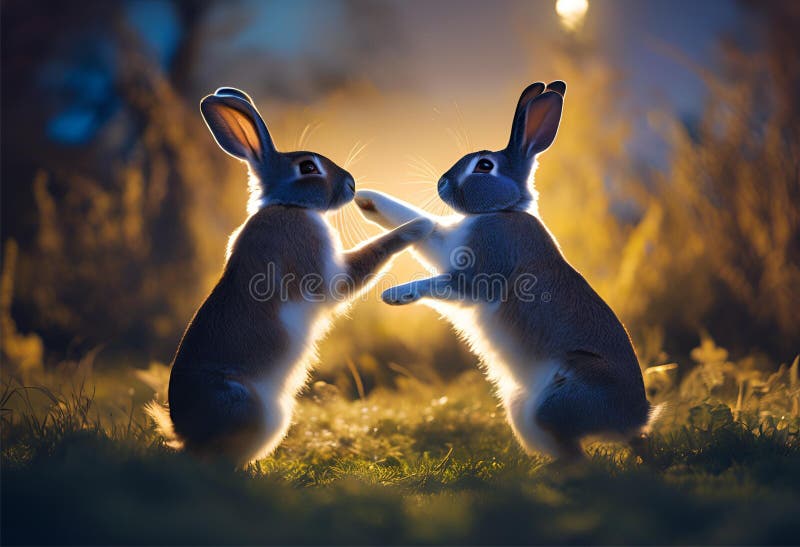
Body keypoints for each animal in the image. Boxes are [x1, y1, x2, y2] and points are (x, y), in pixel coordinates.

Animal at [146, 87, 433, 465]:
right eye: (308, 167)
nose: (351, 184)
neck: (289, 205)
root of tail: (186, 433)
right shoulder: (322, 271)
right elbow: (369, 255)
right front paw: (419, 226)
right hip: (256, 411)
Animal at [355, 81, 657, 459]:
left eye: (484, 166)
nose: (441, 182)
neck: (504, 209)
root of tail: (636, 419)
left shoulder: (479, 274)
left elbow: (445, 283)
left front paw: (395, 295)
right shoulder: (448, 246)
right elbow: (423, 225)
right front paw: (367, 200)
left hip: (554, 403)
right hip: (521, 410)